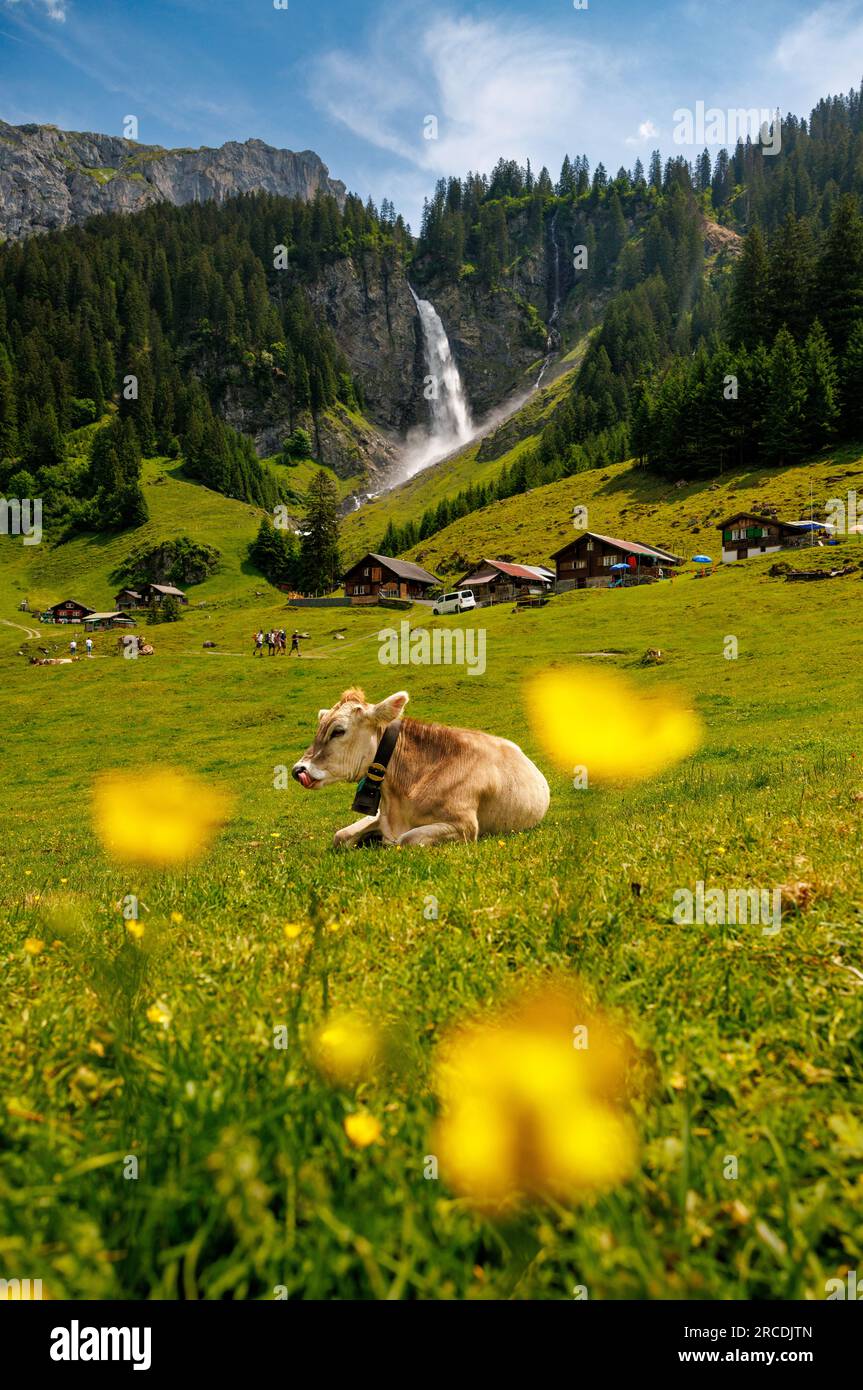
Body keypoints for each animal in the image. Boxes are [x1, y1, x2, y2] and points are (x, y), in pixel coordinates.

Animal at [292, 687, 550, 849]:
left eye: (338, 731)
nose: (298, 770)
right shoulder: (381, 815)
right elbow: (340, 836)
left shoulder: (464, 827)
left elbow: (406, 840)